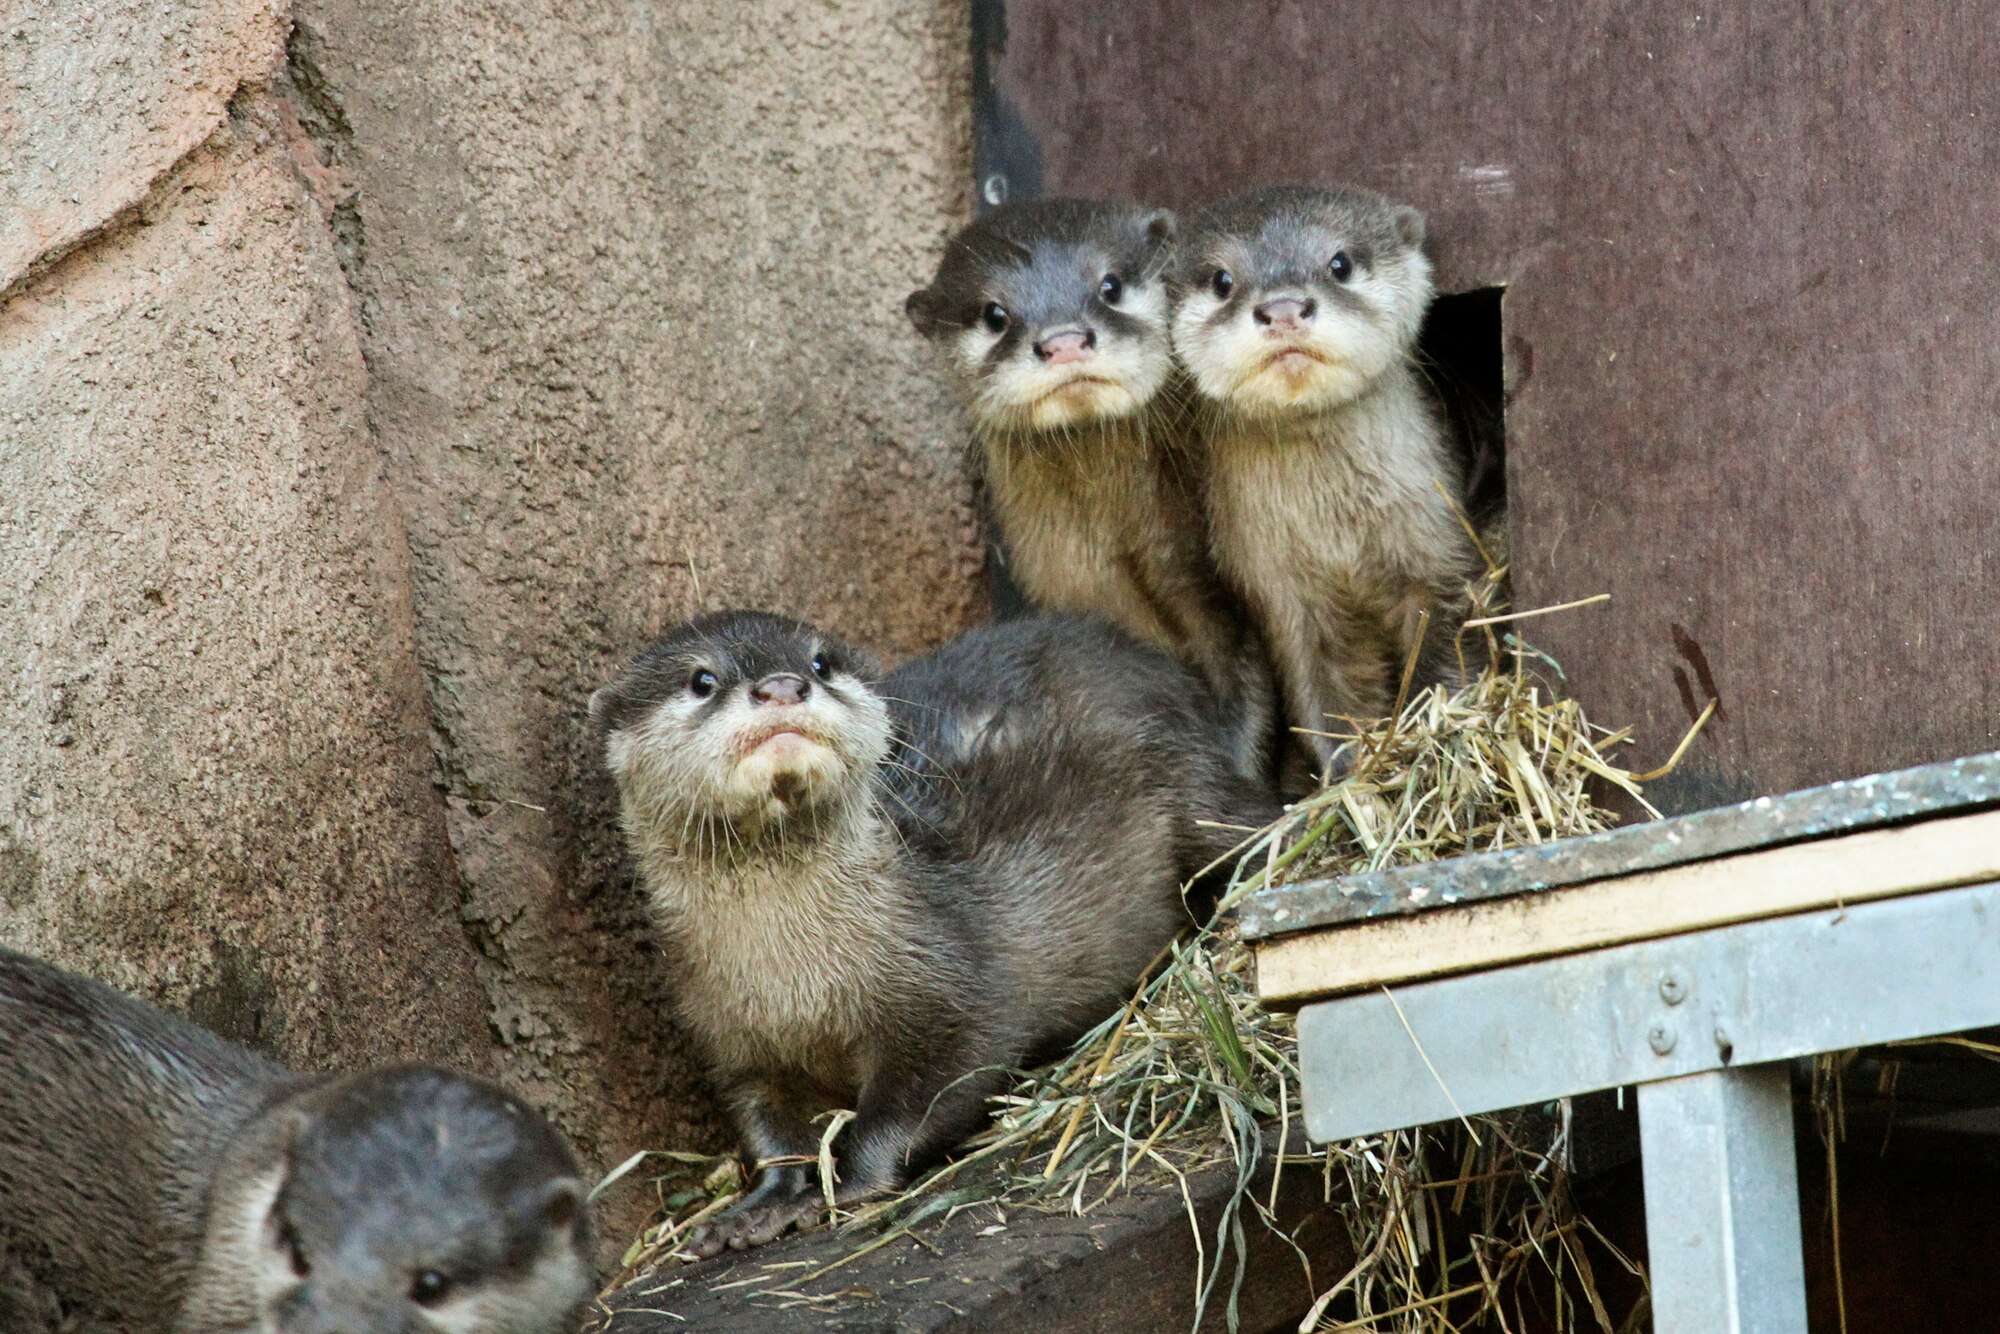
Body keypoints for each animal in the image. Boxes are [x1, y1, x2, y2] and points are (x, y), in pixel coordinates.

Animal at [592, 610, 1279, 1257]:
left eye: (820, 661)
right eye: (702, 680)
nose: (783, 686)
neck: (797, 982)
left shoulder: (949, 987)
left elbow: (929, 1091)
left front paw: (846, 1184)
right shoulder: (735, 1045)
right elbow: (771, 1133)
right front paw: (761, 1205)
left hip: (1188, 782)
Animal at [1170, 185, 1483, 781]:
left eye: (1339, 263)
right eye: (1222, 279)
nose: (1283, 309)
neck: (1339, 535)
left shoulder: (1439, 546)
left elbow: (1444, 649)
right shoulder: (1284, 595)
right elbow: (1323, 694)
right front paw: (1347, 771)